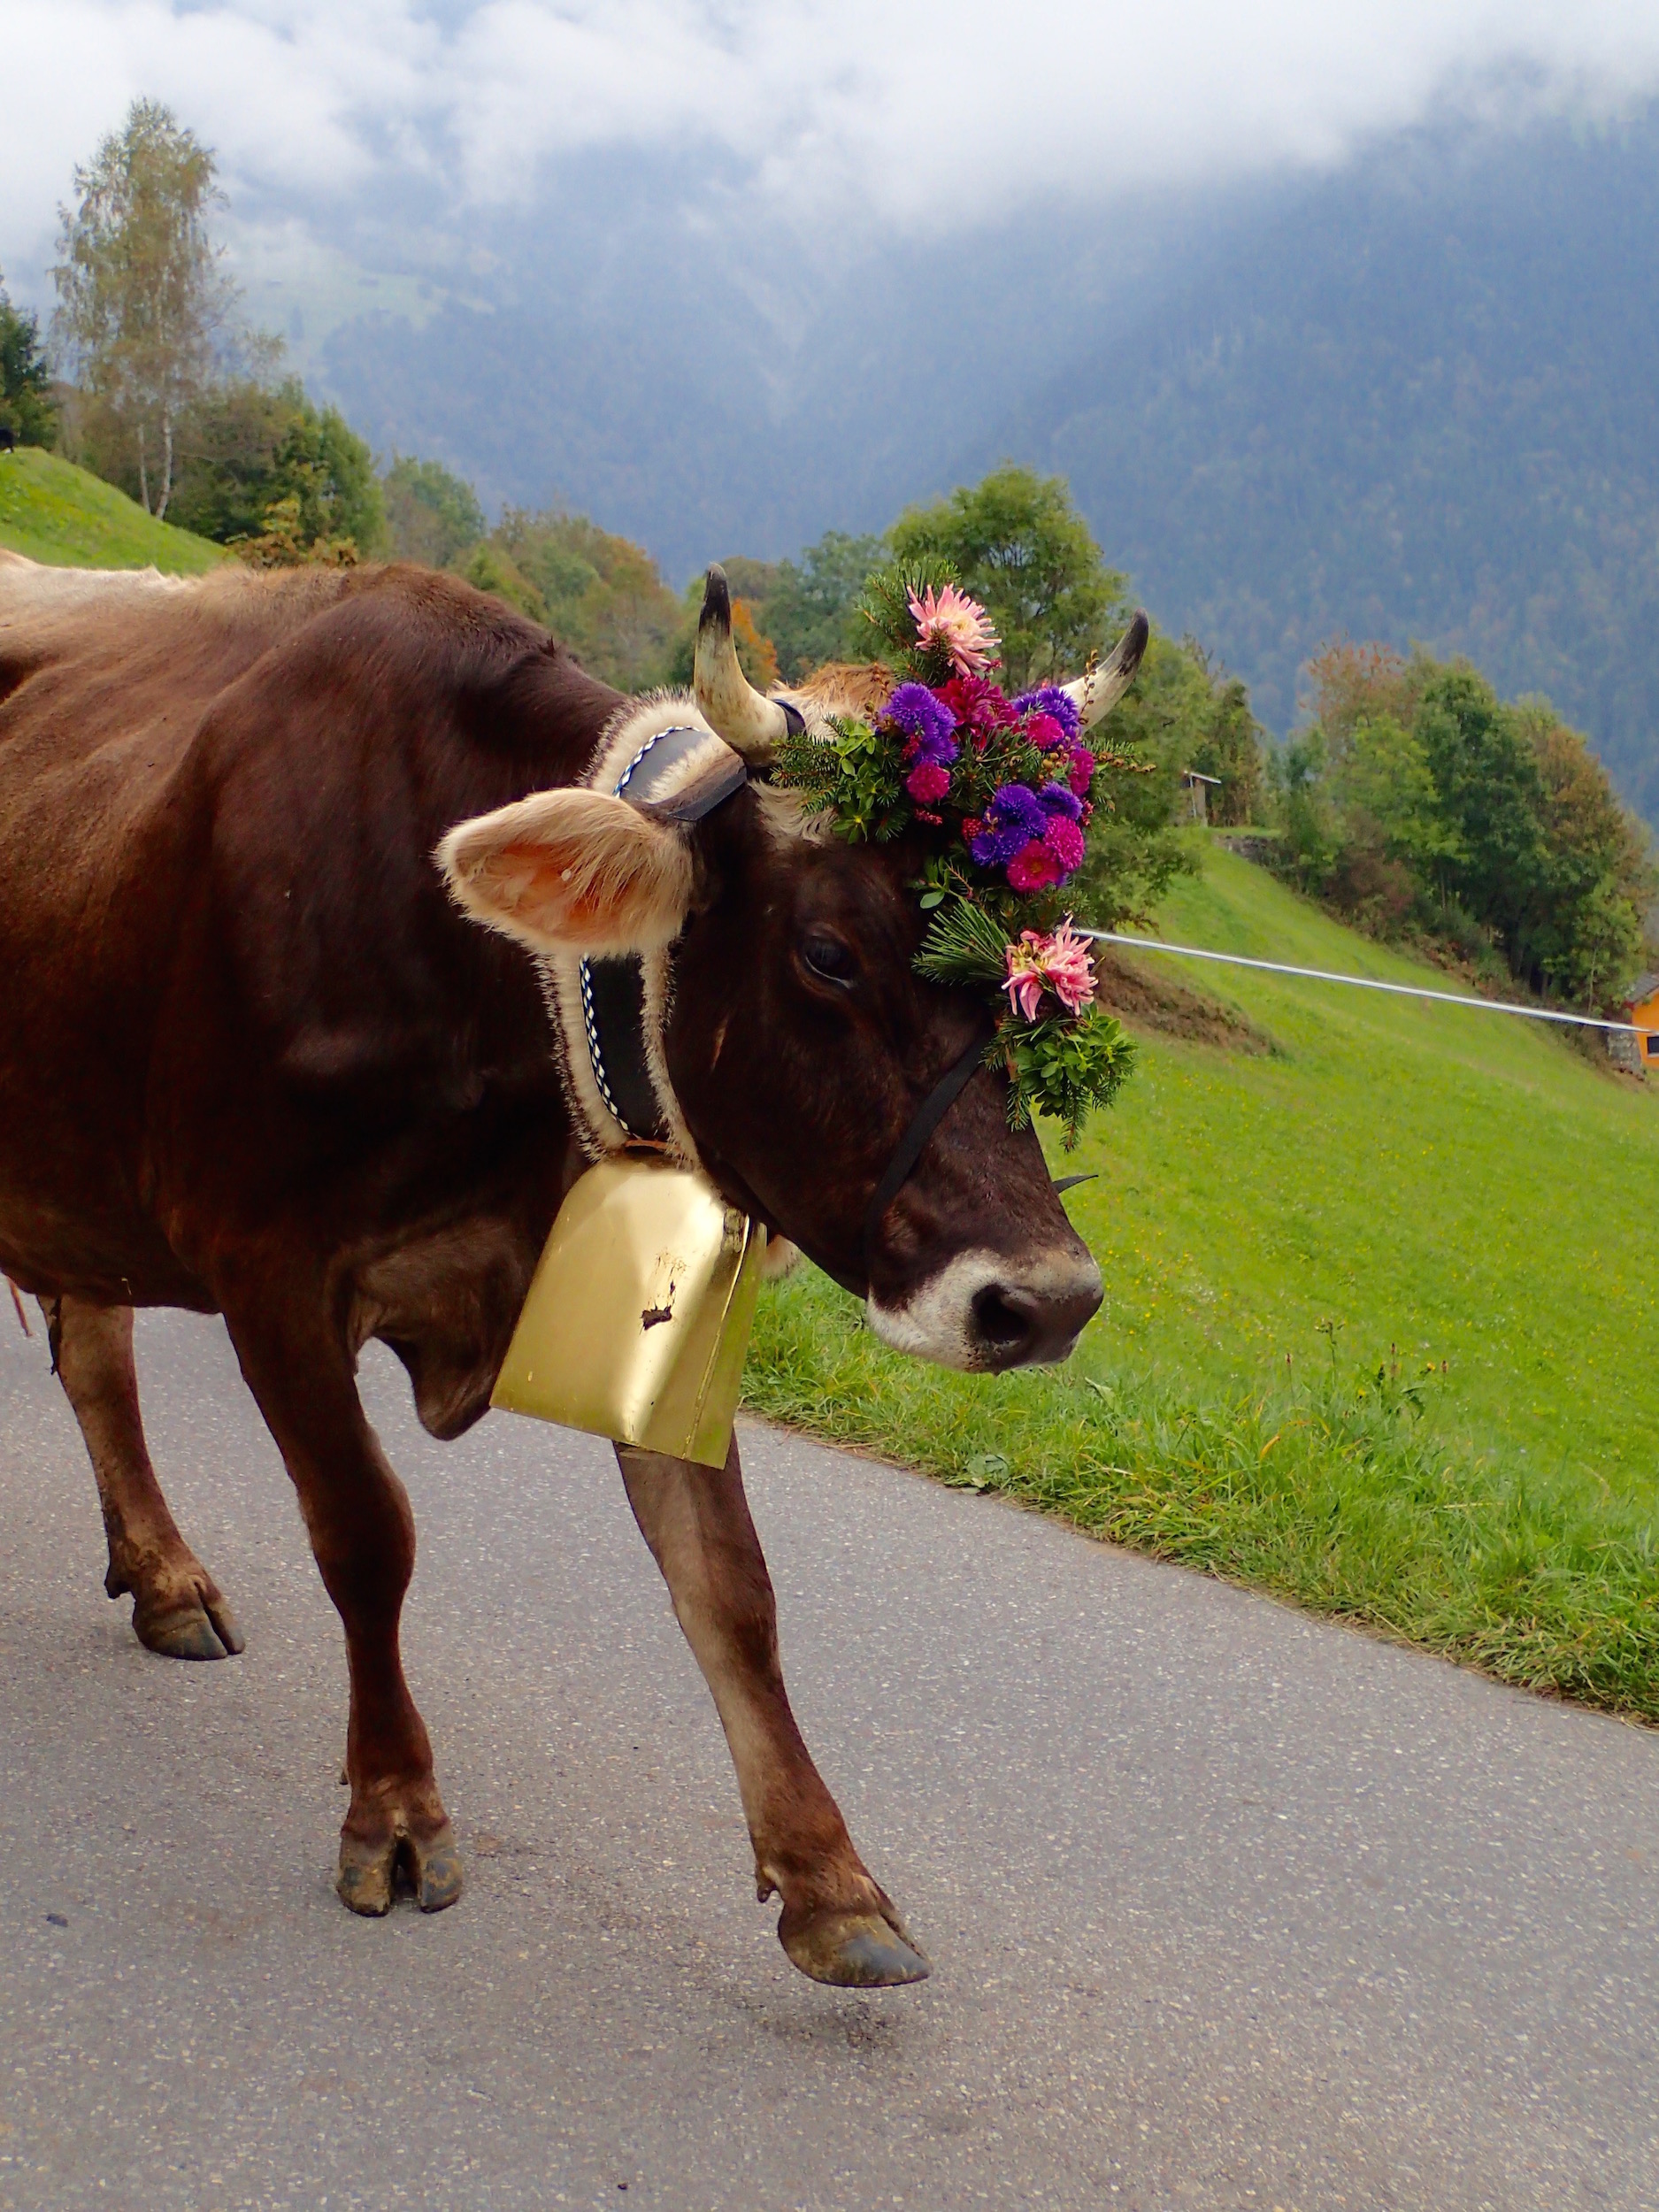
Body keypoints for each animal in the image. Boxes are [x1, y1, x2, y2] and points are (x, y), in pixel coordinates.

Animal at [0, 548, 1142, 1986]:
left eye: (1028, 966)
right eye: (827, 953)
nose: (1044, 1301)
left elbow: (731, 1588)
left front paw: (830, 1882)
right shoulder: (260, 1262)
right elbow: (365, 1533)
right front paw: (397, 1810)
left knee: (92, 1349)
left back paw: (161, 1576)